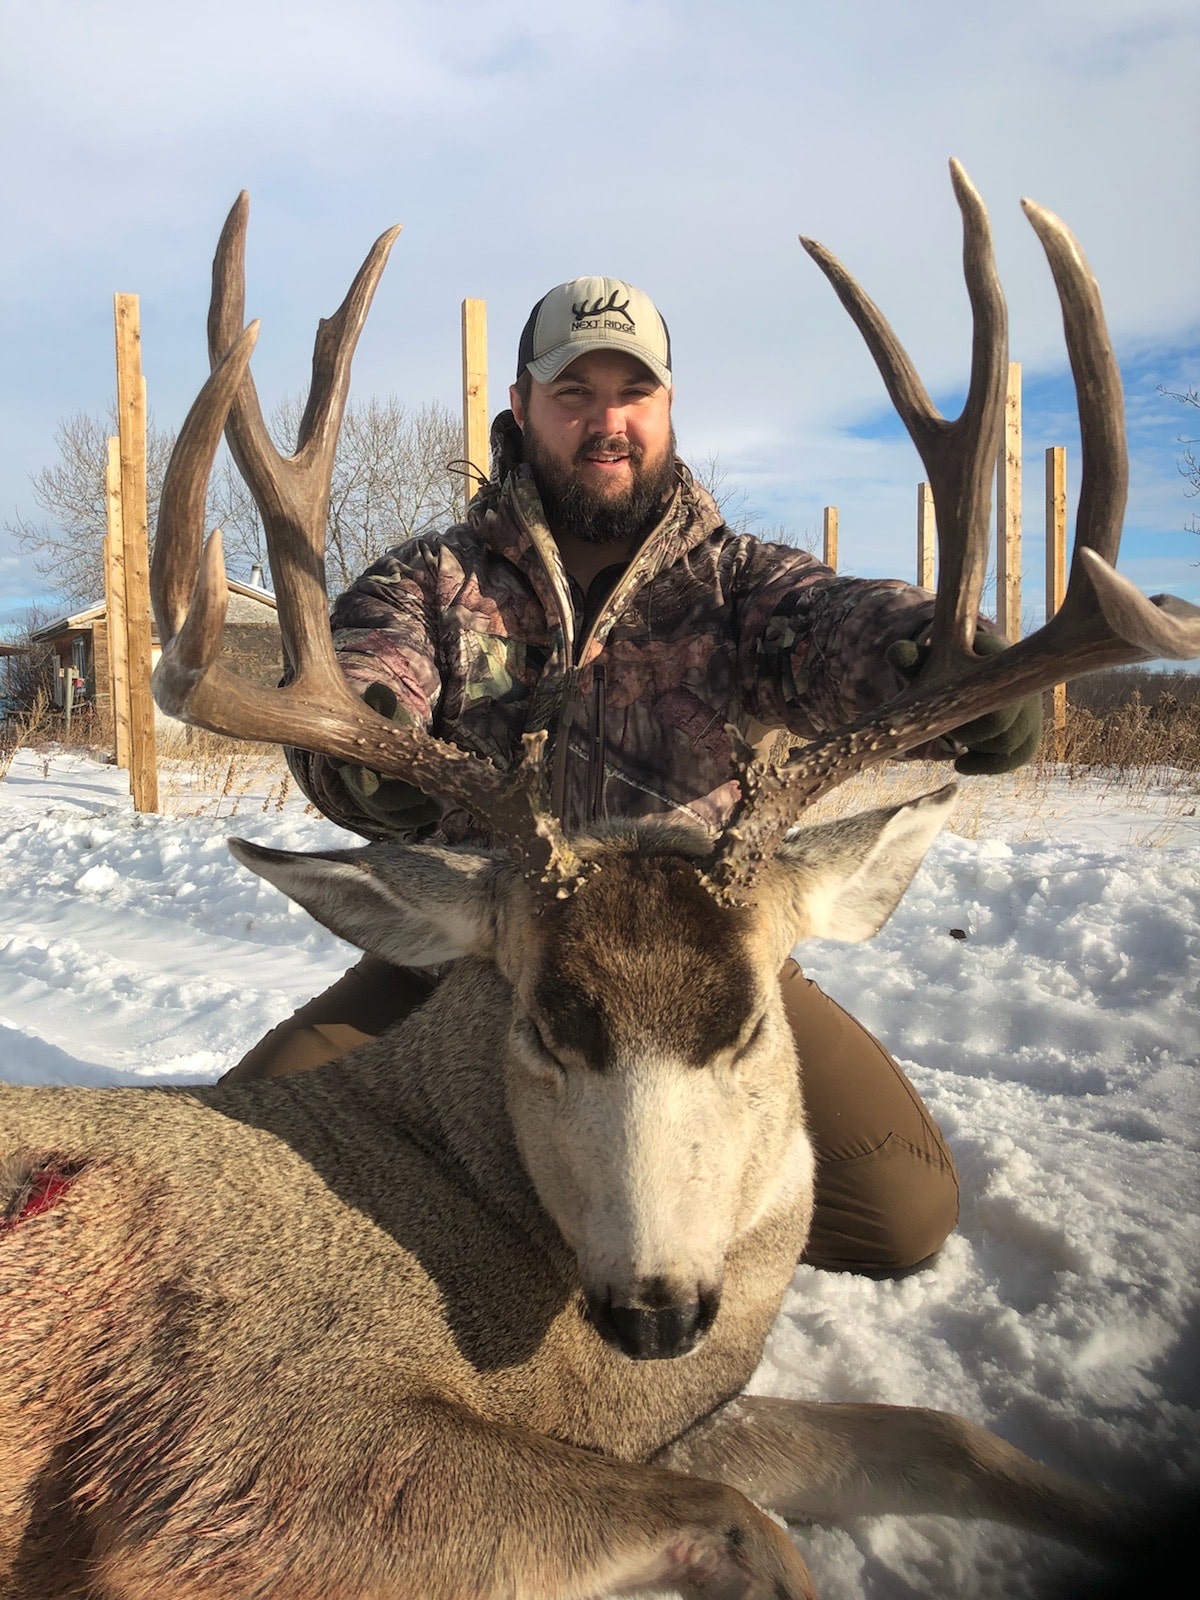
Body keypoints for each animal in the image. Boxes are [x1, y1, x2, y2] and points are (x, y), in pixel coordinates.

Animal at [3, 160, 1198, 1600]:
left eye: (750, 1022)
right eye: (540, 1024)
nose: (657, 1310)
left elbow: (944, 1435)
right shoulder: (235, 1469)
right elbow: (750, 1520)